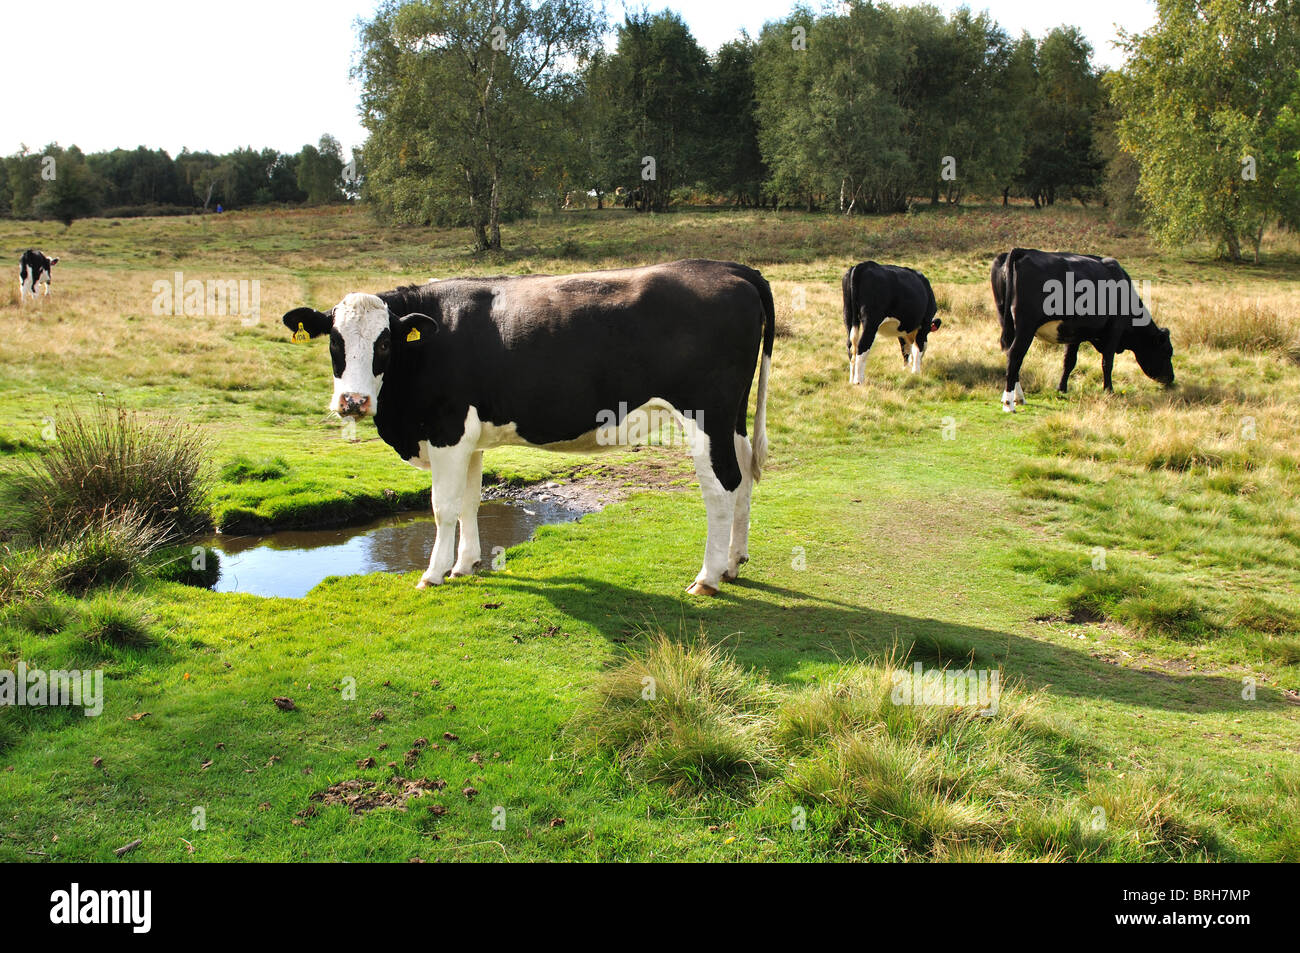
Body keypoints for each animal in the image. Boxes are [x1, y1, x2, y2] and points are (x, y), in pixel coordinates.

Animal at [282, 259, 773, 596]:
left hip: (705, 415)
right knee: (745, 475)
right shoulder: (470, 439)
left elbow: (443, 506)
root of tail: (725, 267)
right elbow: (471, 501)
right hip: (732, 418)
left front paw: (434, 574)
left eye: (384, 343)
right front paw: (465, 565)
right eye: (335, 341)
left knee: (721, 486)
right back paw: (733, 563)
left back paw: (707, 578)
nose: (353, 401)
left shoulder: (446, 431)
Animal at [996, 248, 1174, 411]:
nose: (1171, 378)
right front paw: (1109, 390)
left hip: (1009, 324)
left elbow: (1069, 361)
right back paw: (1009, 403)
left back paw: (1019, 397)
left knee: (1013, 358)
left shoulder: (1073, 334)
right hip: (1026, 327)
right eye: (1167, 351)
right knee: (1015, 356)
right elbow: (1107, 363)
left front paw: (1061, 388)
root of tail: (1024, 251)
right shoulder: (1114, 331)